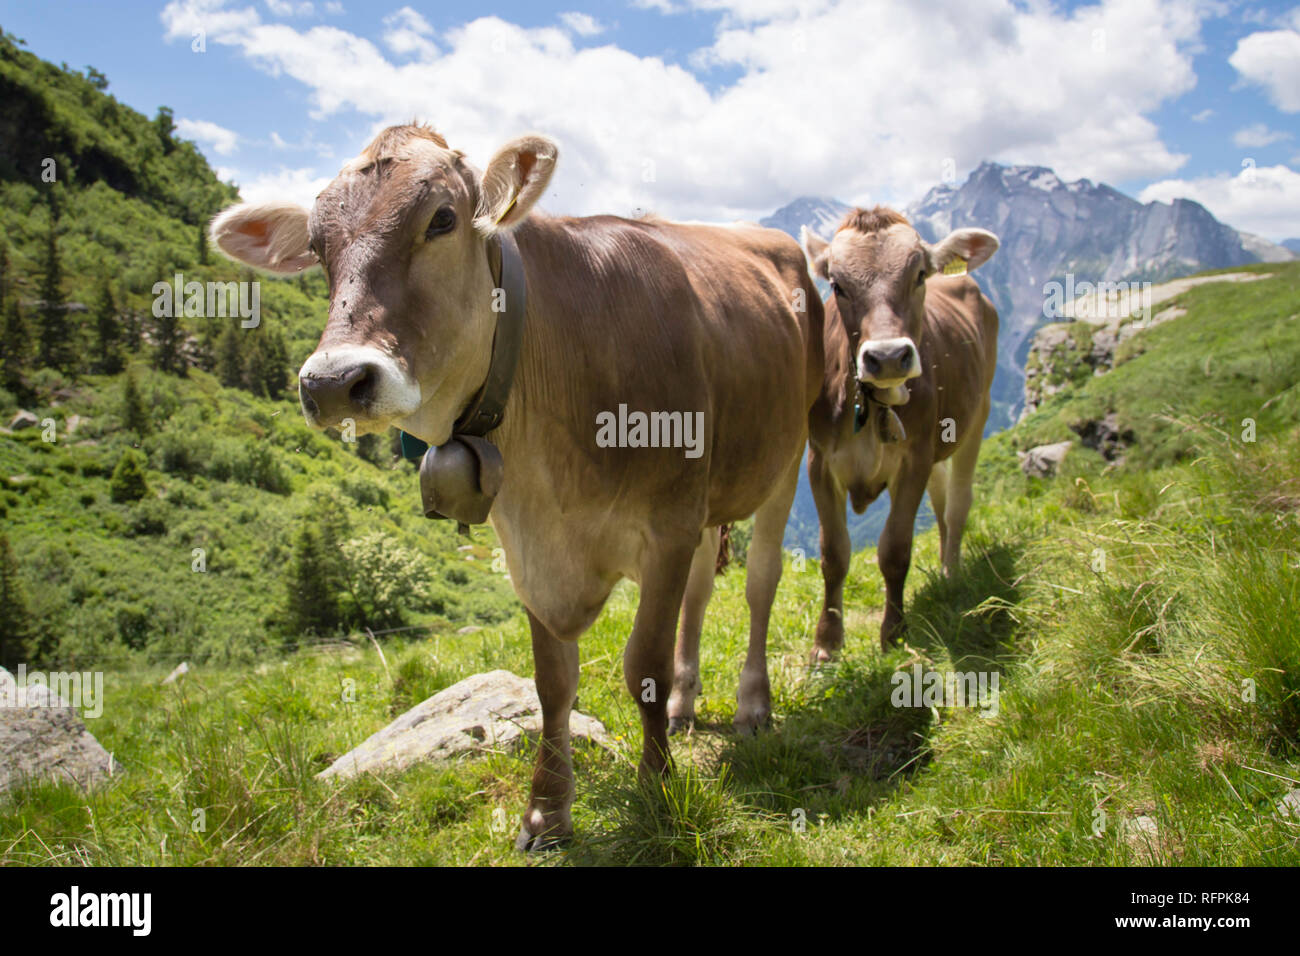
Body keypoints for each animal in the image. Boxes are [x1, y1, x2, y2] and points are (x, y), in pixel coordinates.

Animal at [209, 124, 823, 849]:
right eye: (315, 245)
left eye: (442, 219)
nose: (333, 382)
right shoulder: (529, 542)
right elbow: (552, 682)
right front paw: (547, 813)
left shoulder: (666, 525)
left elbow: (641, 663)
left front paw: (655, 788)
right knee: (701, 592)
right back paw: (683, 705)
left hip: (789, 452)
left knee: (761, 581)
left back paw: (754, 705)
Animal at [799, 206, 999, 658]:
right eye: (837, 285)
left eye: (919, 274)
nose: (888, 356)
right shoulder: (820, 462)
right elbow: (833, 554)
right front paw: (827, 643)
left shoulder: (914, 460)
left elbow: (895, 550)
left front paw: (893, 633)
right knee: (941, 504)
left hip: (977, 416)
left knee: (958, 503)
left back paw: (951, 572)